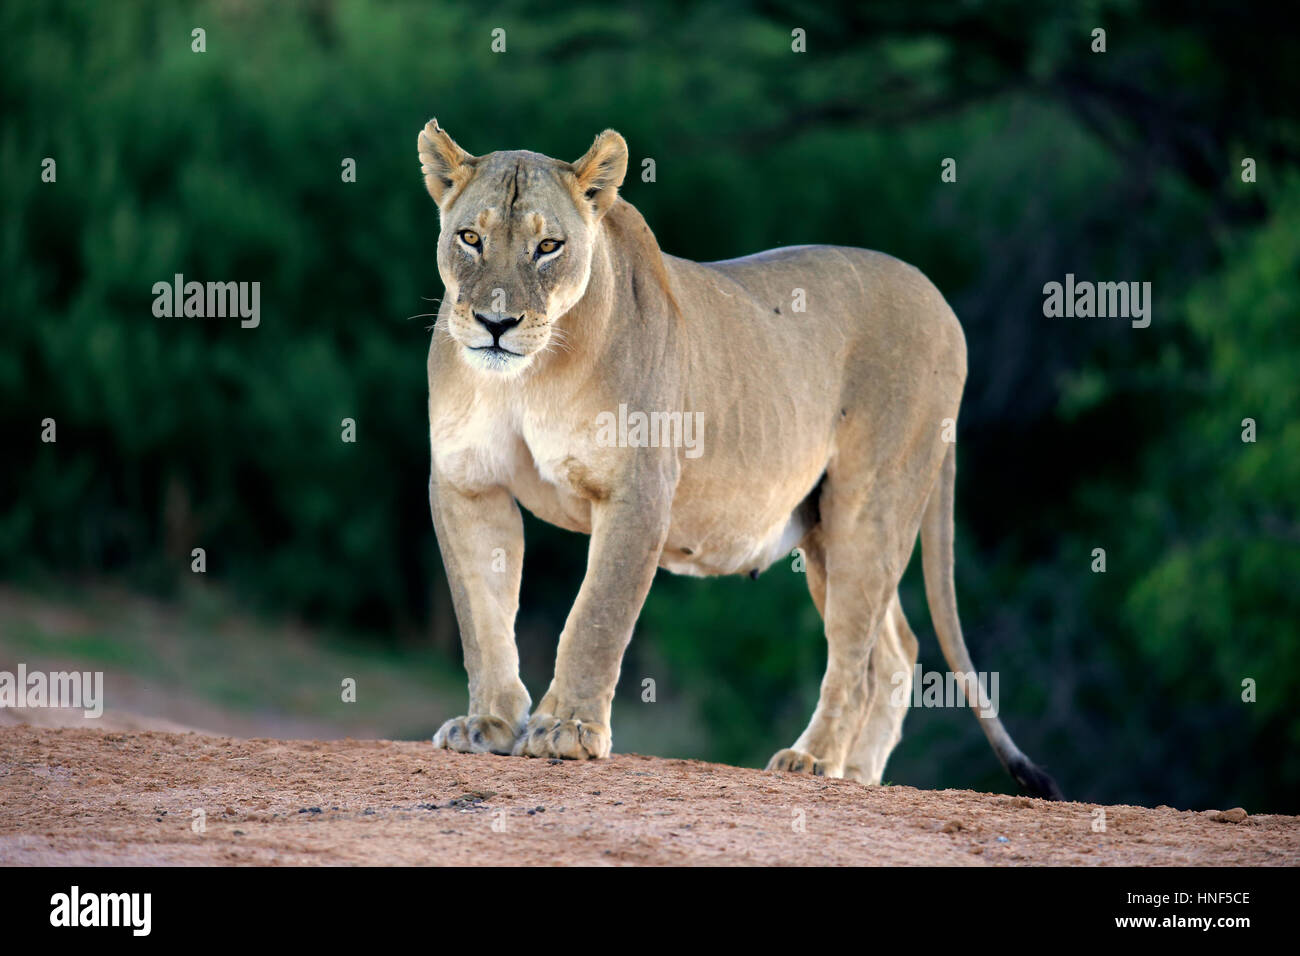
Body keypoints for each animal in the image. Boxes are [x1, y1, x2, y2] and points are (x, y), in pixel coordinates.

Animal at [418, 119, 1063, 799]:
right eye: (470, 238)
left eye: (548, 246)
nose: (495, 322)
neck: (529, 378)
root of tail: (937, 296)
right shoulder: (466, 485)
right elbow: (482, 614)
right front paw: (489, 725)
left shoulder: (639, 491)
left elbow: (596, 616)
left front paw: (566, 729)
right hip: (827, 533)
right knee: (895, 649)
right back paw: (859, 774)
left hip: (869, 507)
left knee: (855, 653)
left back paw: (814, 759)